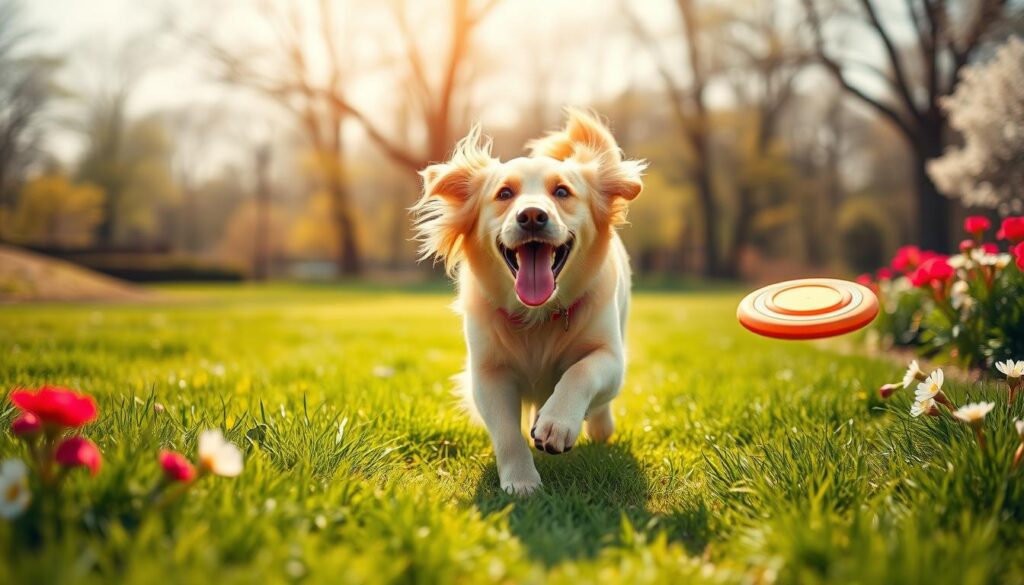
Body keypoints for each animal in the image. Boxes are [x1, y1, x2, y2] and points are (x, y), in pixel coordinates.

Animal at [409, 109, 643, 493]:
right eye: (504, 193)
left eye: (562, 191)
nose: (532, 215)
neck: (538, 315)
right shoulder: (488, 372)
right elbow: (506, 432)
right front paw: (521, 482)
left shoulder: (609, 357)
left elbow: (581, 371)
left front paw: (558, 422)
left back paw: (596, 426)